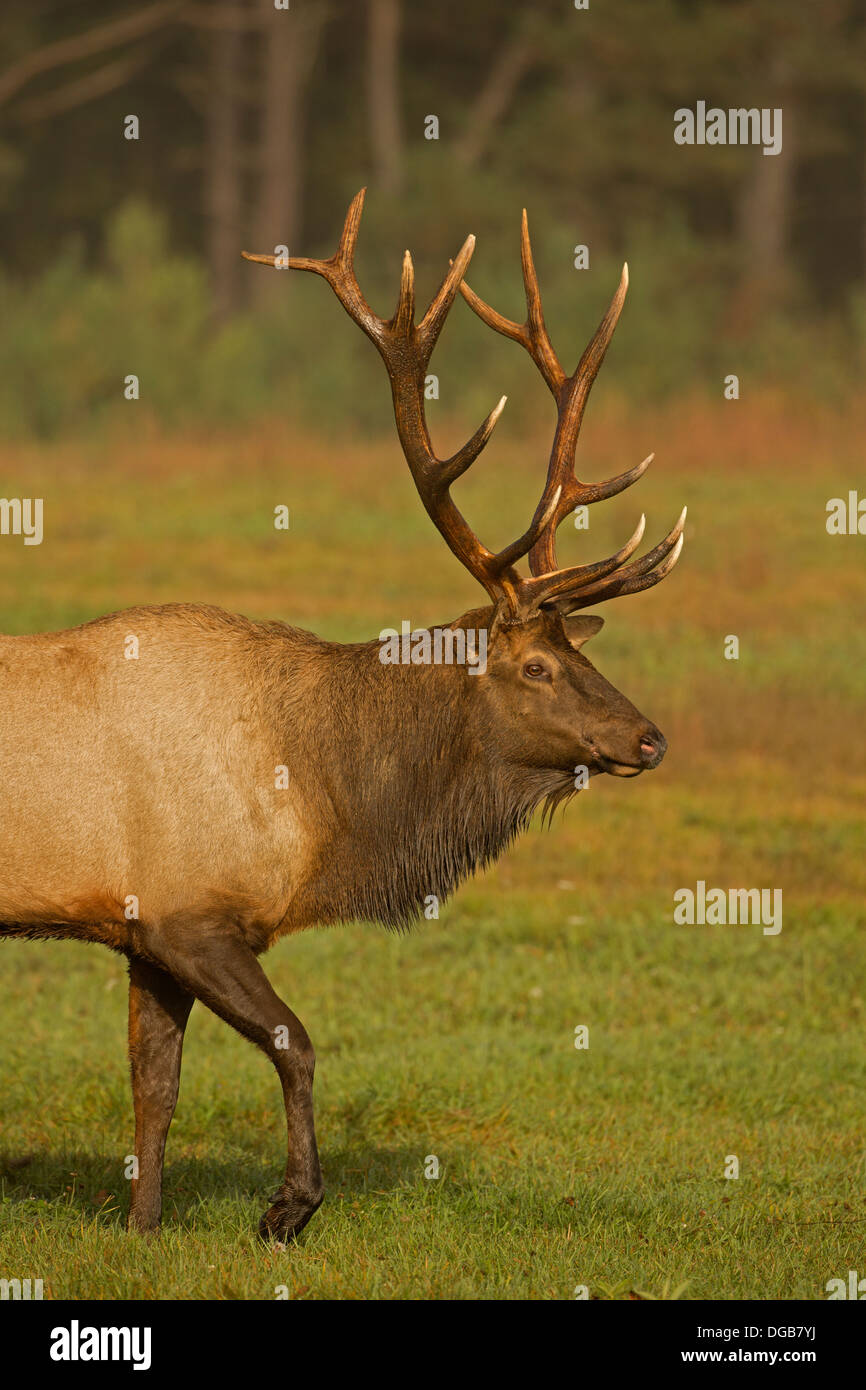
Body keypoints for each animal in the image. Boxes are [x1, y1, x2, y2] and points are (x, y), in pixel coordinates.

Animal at [0, 190, 685, 1243]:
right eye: (535, 665)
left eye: (585, 652)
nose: (648, 738)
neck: (324, 802)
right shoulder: (193, 914)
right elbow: (297, 1043)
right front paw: (290, 1206)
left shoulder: (142, 929)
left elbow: (154, 1087)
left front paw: (143, 1225)